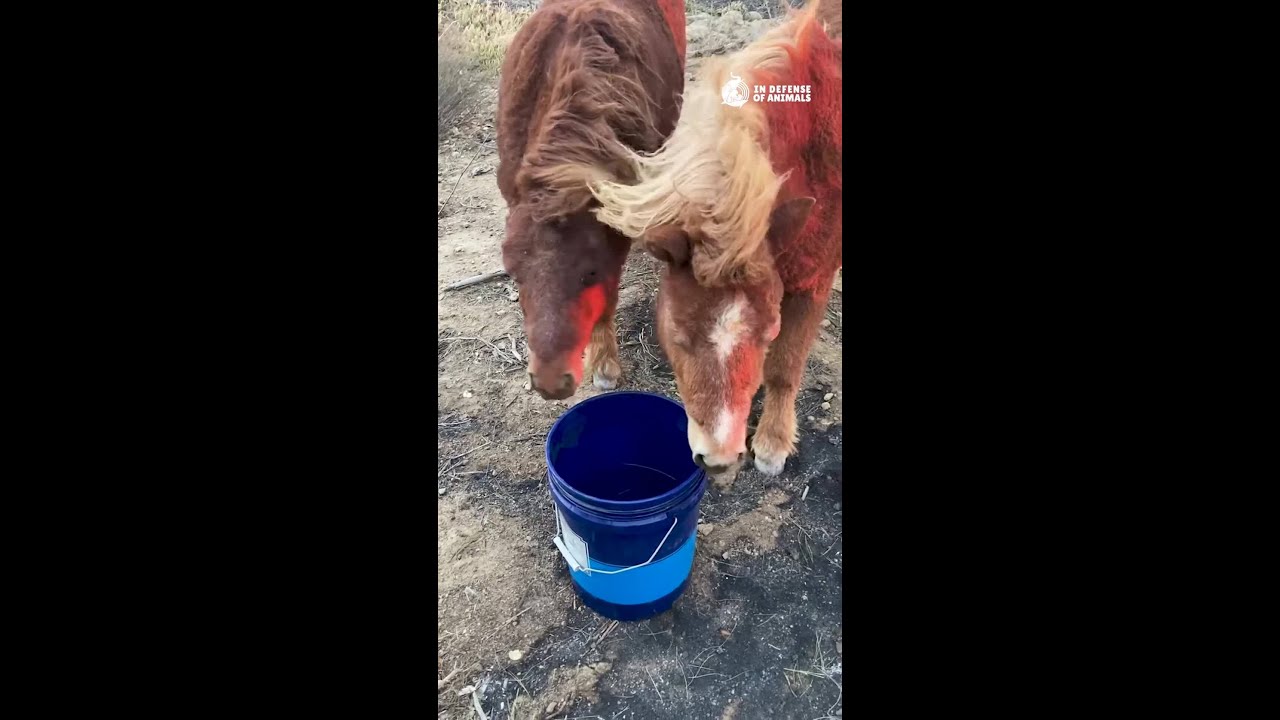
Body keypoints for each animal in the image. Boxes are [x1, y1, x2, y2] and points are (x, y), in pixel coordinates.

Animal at [590, 0, 842, 482]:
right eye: (677, 336)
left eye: (770, 332)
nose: (719, 460)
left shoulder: (815, 277)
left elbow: (786, 366)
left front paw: (772, 445)